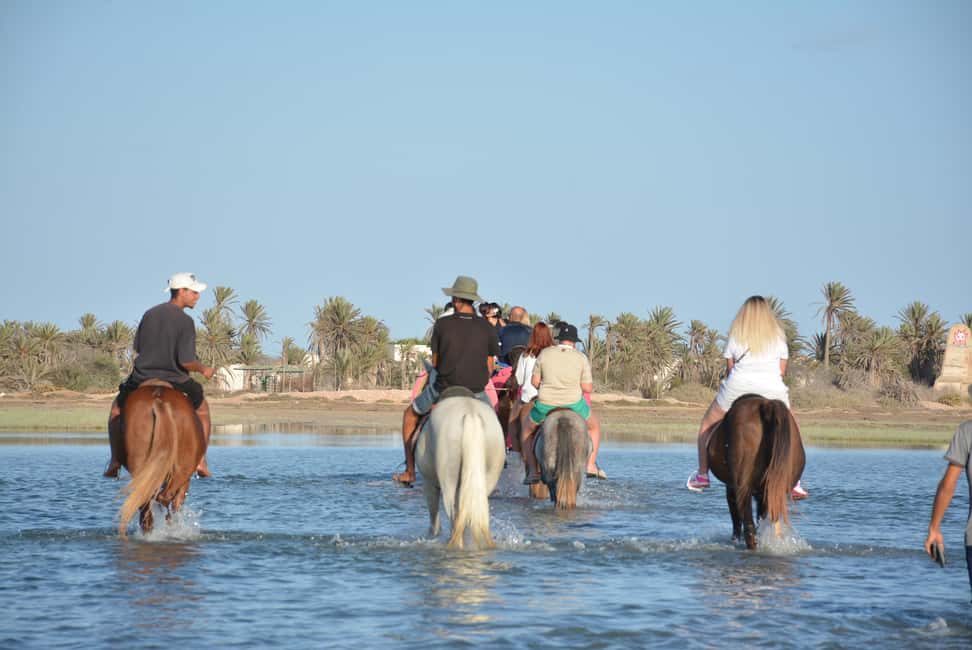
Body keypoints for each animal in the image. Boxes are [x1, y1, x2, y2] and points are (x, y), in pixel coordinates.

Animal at [117, 382, 207, 536]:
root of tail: (158, 398)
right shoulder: (184, 481)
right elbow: (177, 502)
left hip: (141, 464)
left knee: (146, 501)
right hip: (183, 469)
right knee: (164, 498)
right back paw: (168, 526)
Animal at [415, 388, 506, 549]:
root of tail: (471, 414)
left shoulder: (429, 484)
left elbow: (434, 519)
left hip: (448, 484)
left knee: (454, 517)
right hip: (486, 480)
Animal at [707, 394, 805, 550]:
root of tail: (766, 405)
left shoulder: (732, 488)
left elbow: (736, 520)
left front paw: (734, 540)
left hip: (743, 488)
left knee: (749, 528)